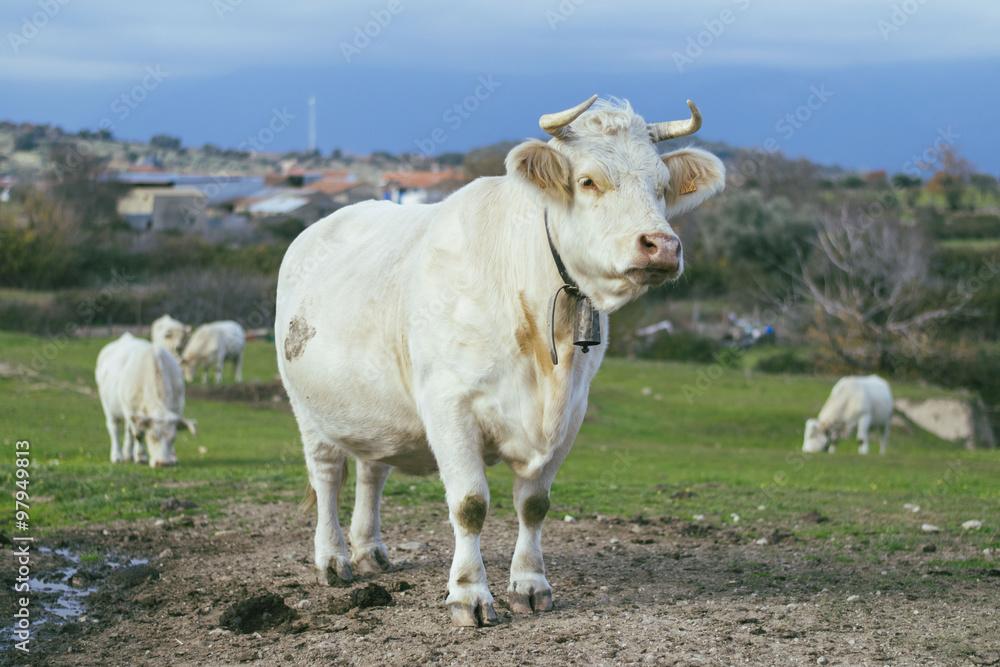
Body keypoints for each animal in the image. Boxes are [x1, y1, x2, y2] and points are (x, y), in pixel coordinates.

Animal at [95, 332, 196, 467]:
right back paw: (117, 456)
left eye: (173, 438)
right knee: (114, 428)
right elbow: (138, 434)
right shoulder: (130, 410)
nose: (163, 463)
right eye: (153, 436)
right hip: (109, 407)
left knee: (128, 431)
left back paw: (128, 454)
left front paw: (173, 457)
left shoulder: (177, 407)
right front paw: (141, 456)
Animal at [275, 95, 726, 627]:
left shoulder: (570, 414)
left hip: (377, 410)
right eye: (588, 181)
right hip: (306, 407)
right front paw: (469, 594)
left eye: (660, 186)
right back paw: (333, 560)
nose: (662, 246)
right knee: (326, 475)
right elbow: (470, 504)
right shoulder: (449, 406)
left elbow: (534, 504)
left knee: (372, 471)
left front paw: (530, 584)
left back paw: (371, 552)